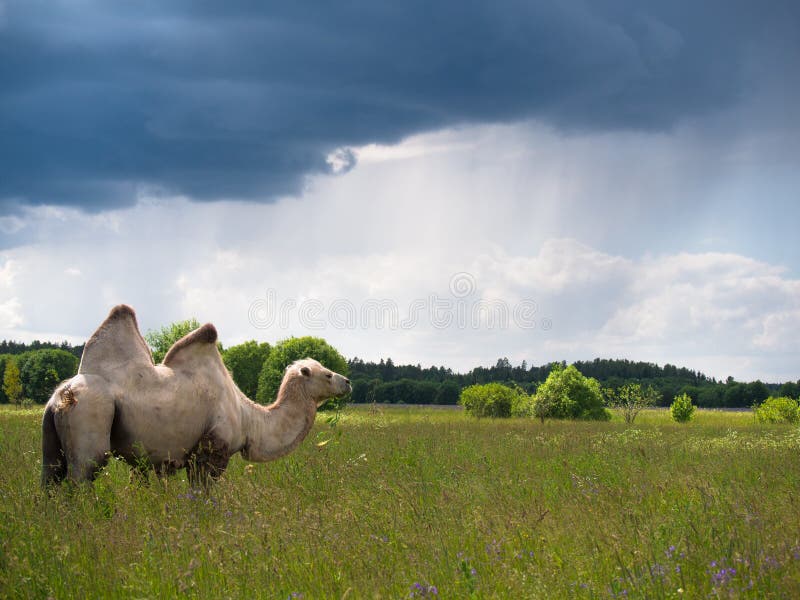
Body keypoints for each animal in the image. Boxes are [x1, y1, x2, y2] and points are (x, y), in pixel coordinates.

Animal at [41, 305, 351, 486]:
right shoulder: (212, 452)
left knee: (51, 480)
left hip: (51, 438)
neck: (249, 418)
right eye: (326, 374)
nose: (347, 382)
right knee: (82, 477)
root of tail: (61, 394)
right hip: (91, 416)